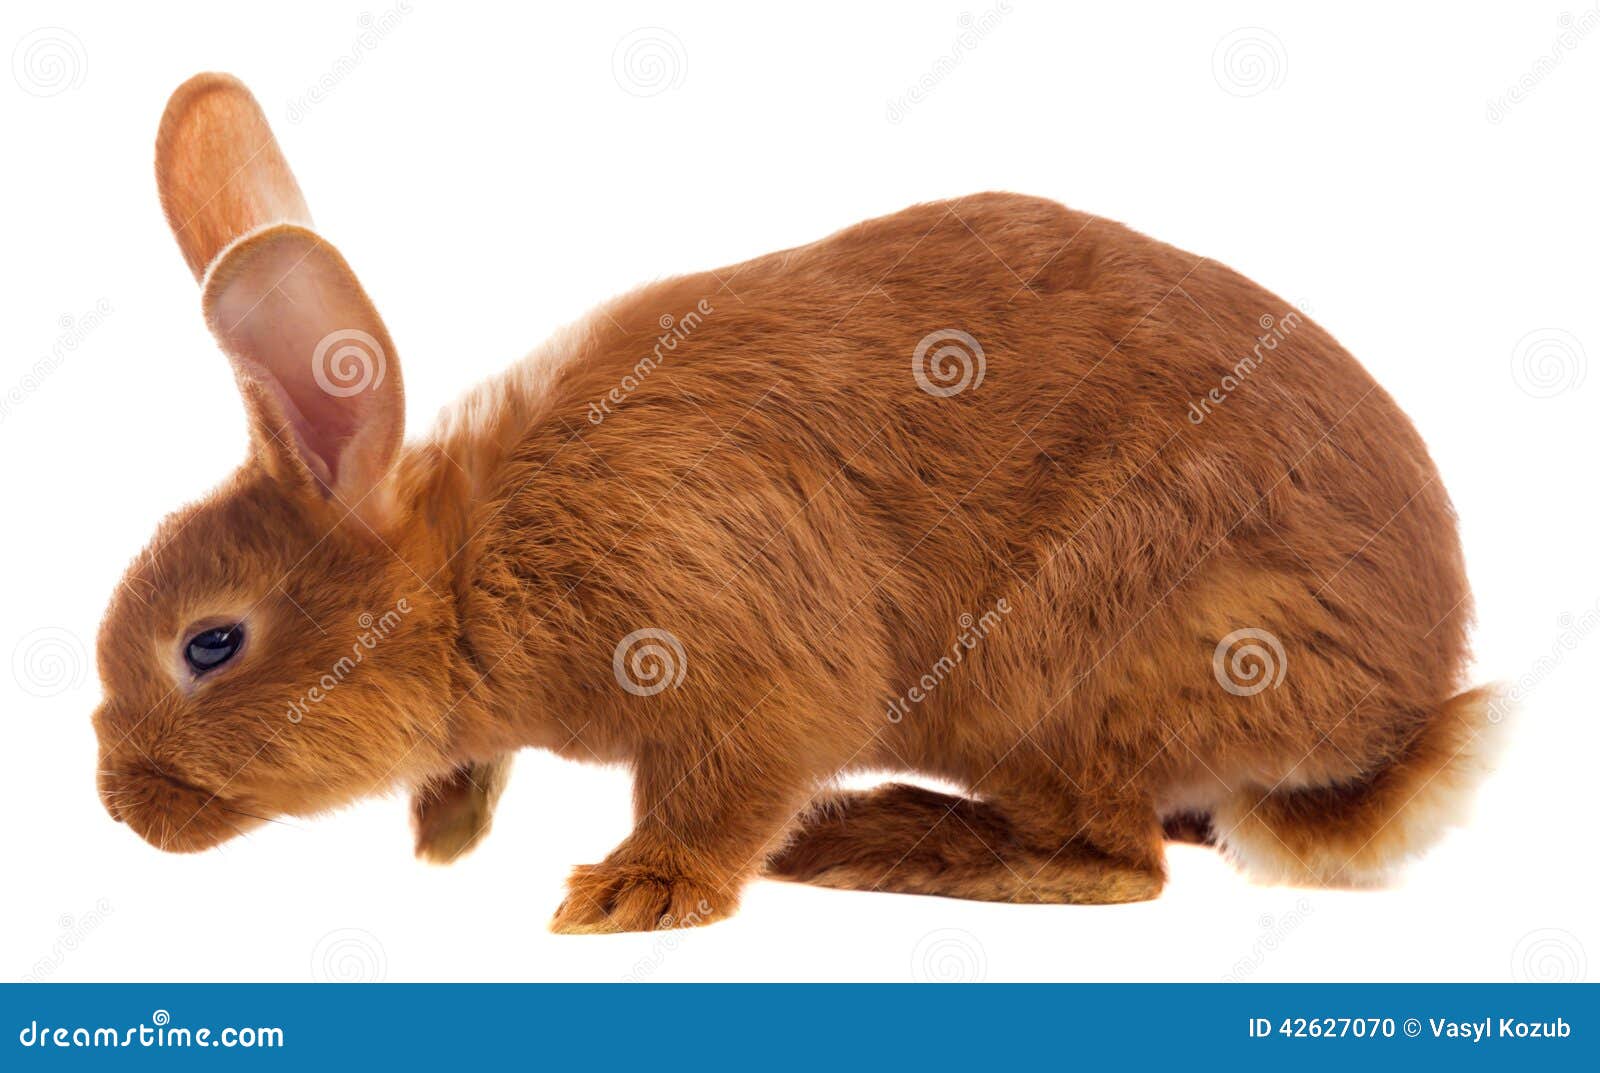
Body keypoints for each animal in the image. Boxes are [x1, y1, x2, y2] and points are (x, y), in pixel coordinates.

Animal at [93, 72, 1504, 934]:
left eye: (210, 643)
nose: (119, 806)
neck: (471, 565)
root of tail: (1402, 716)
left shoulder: (729, 647)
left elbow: (726, 786)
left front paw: (633, 894)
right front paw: (451, 825)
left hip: (1070, 674)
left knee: (1117, 862)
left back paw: (878, 842)